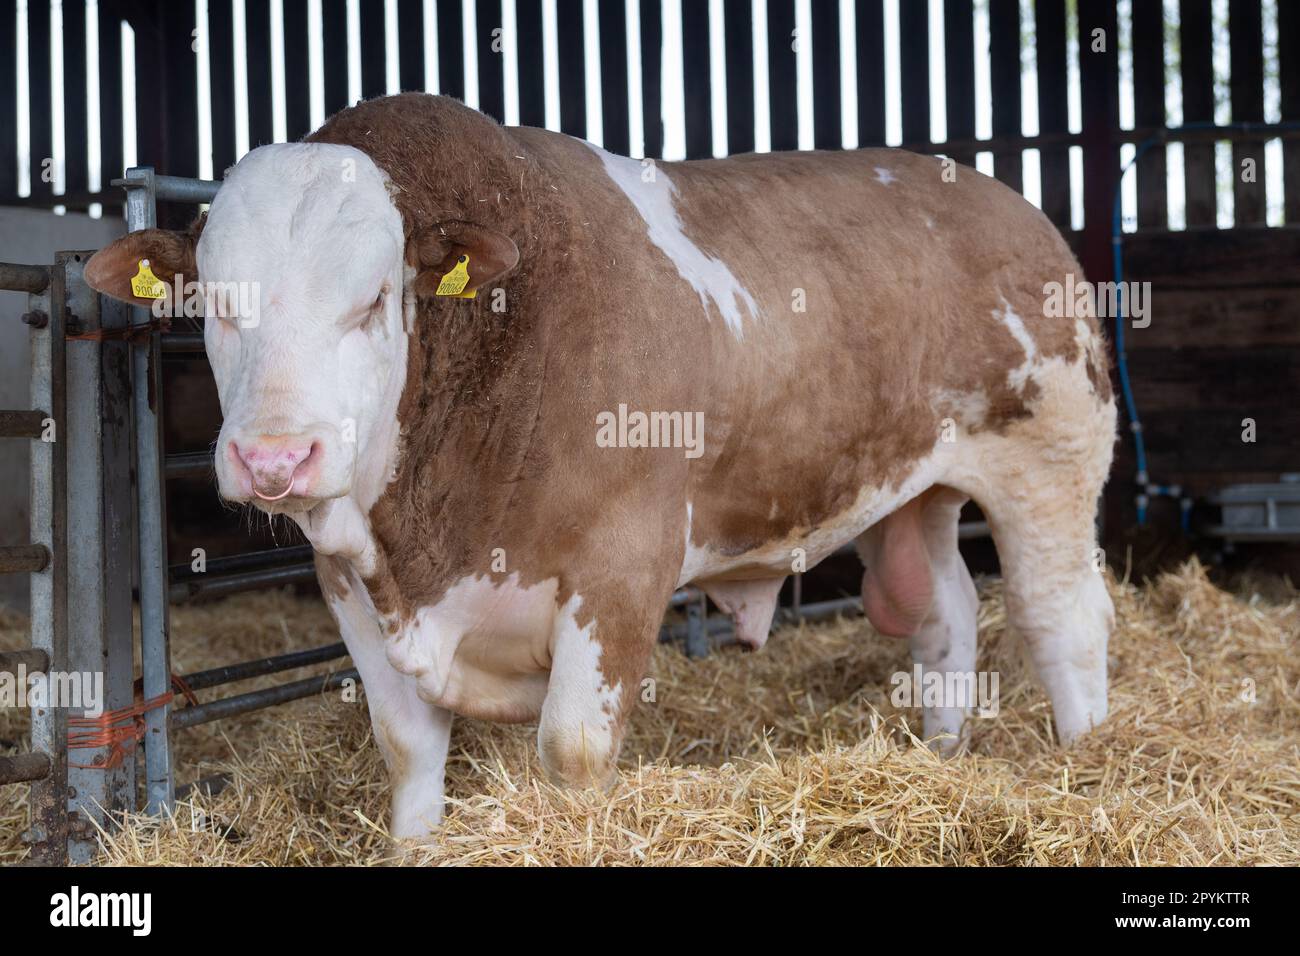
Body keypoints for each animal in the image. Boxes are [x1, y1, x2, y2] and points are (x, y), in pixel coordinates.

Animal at [84, 93, 1116, 839]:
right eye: (215, 303)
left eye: (374, 299)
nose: (274, 456)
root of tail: (999, 200)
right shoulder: (348, 577)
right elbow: (407, 750)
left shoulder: (621, 565)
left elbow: (574, 751)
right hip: (917, 488)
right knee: (945, 613)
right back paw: (943, 757)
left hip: (1050, 458)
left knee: (1060, 617)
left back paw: (1087, 759)